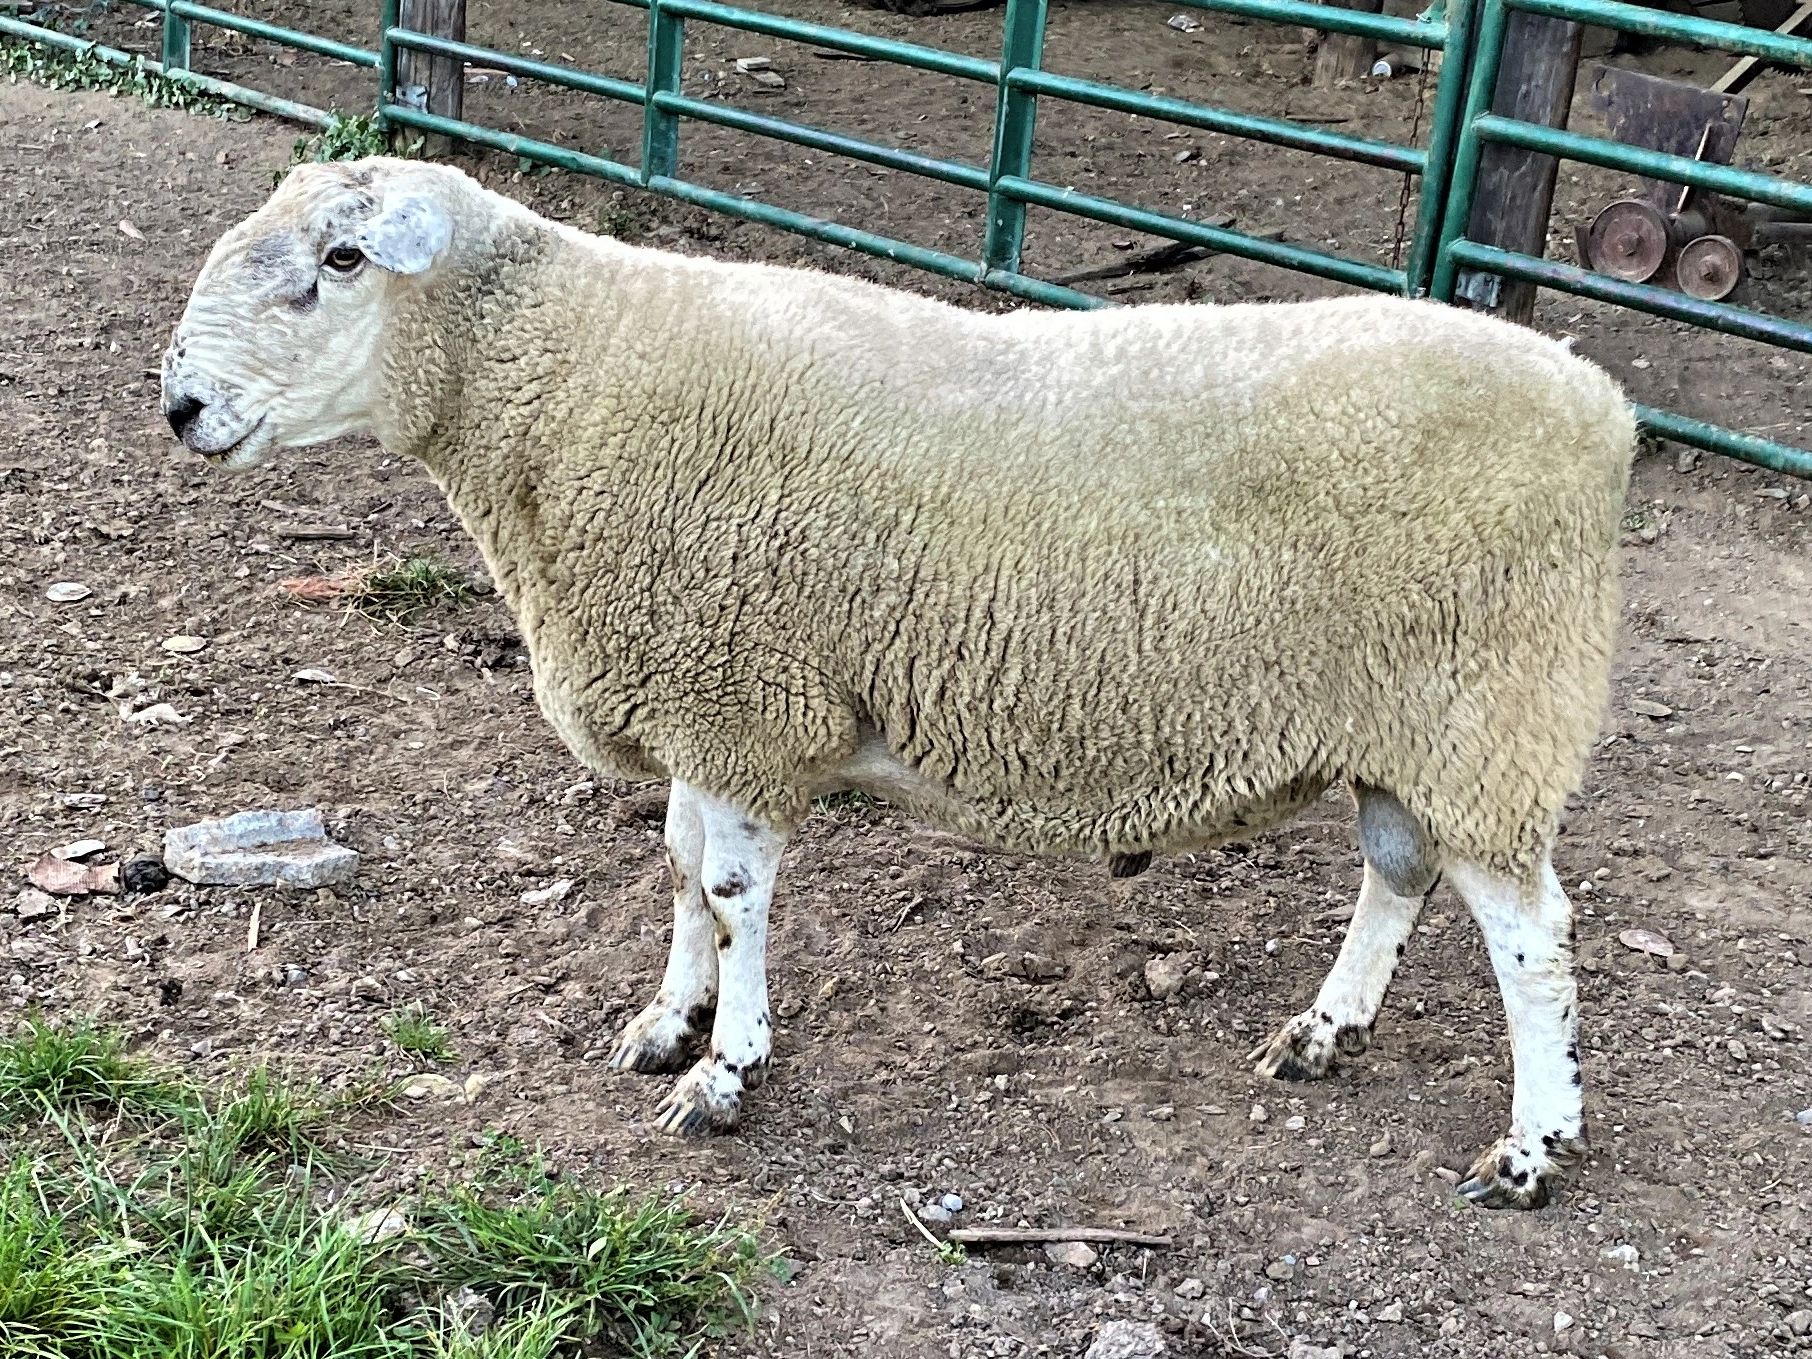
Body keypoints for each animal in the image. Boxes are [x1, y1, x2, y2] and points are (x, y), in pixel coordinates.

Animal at [161, 157, 1636, 1211]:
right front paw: (666, 1020)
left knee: (1535, 941)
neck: (559, 385)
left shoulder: (741, 697)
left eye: (343, 260)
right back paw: (1326, 1032)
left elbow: (733, 893)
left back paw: (1533, 1147)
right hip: (1405, 728)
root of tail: (1602, 408)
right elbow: (678, 867)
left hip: (1493, 716)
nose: (177, 405)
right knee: (1399, 873)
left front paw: (726, 1071)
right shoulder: (703, 705)